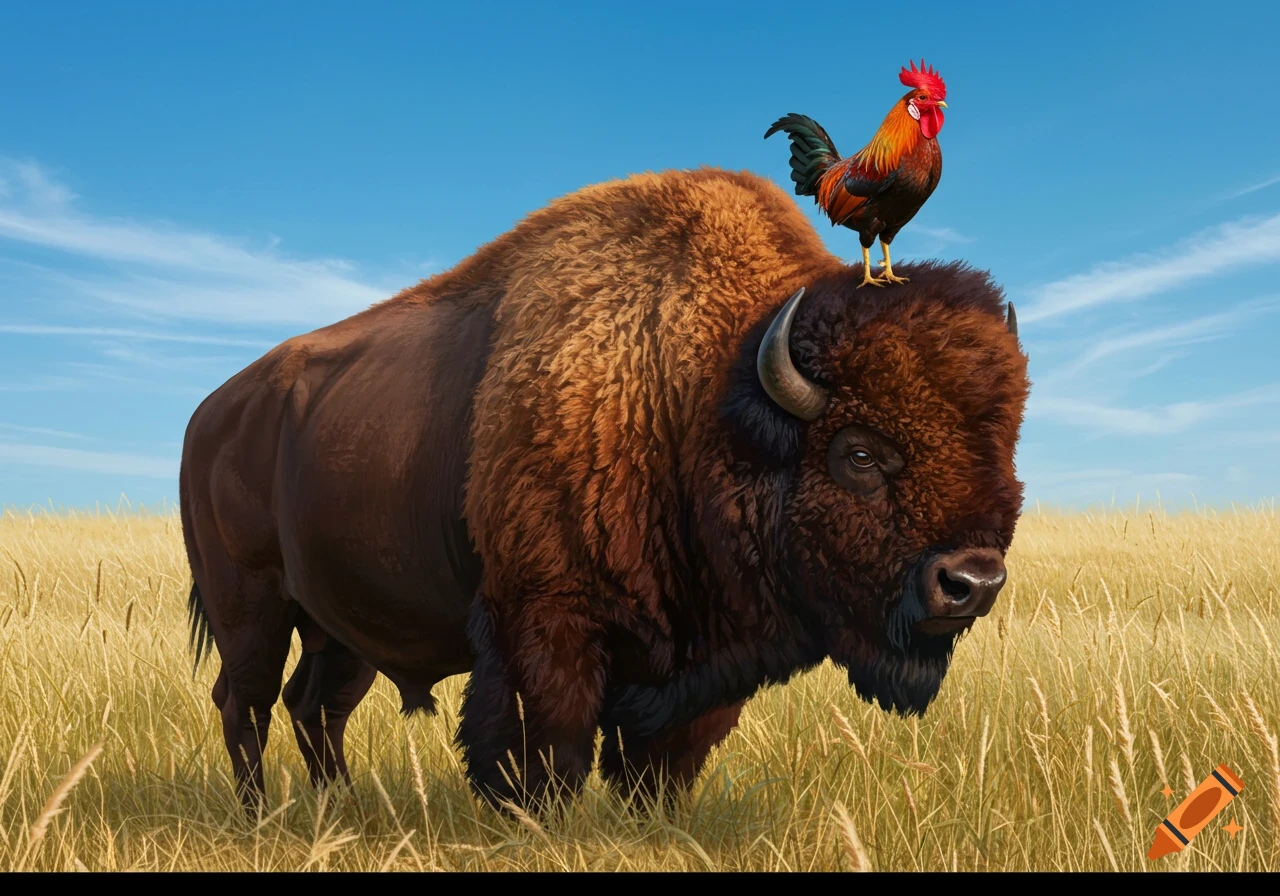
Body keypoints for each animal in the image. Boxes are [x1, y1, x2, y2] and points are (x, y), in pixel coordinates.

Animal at [179, 167, 1029, 814]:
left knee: (314, 706)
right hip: (250, 604)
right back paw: (261, 815)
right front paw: (534, 820)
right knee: (245, 701)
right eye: (858, 453)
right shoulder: (546, 623)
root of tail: (209, 413)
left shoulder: (702, 663)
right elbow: (549, 748)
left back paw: (341, 808)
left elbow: (662, 764)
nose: (971, 582)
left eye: (1005, 451)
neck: (701, 390)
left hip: (342, 624)